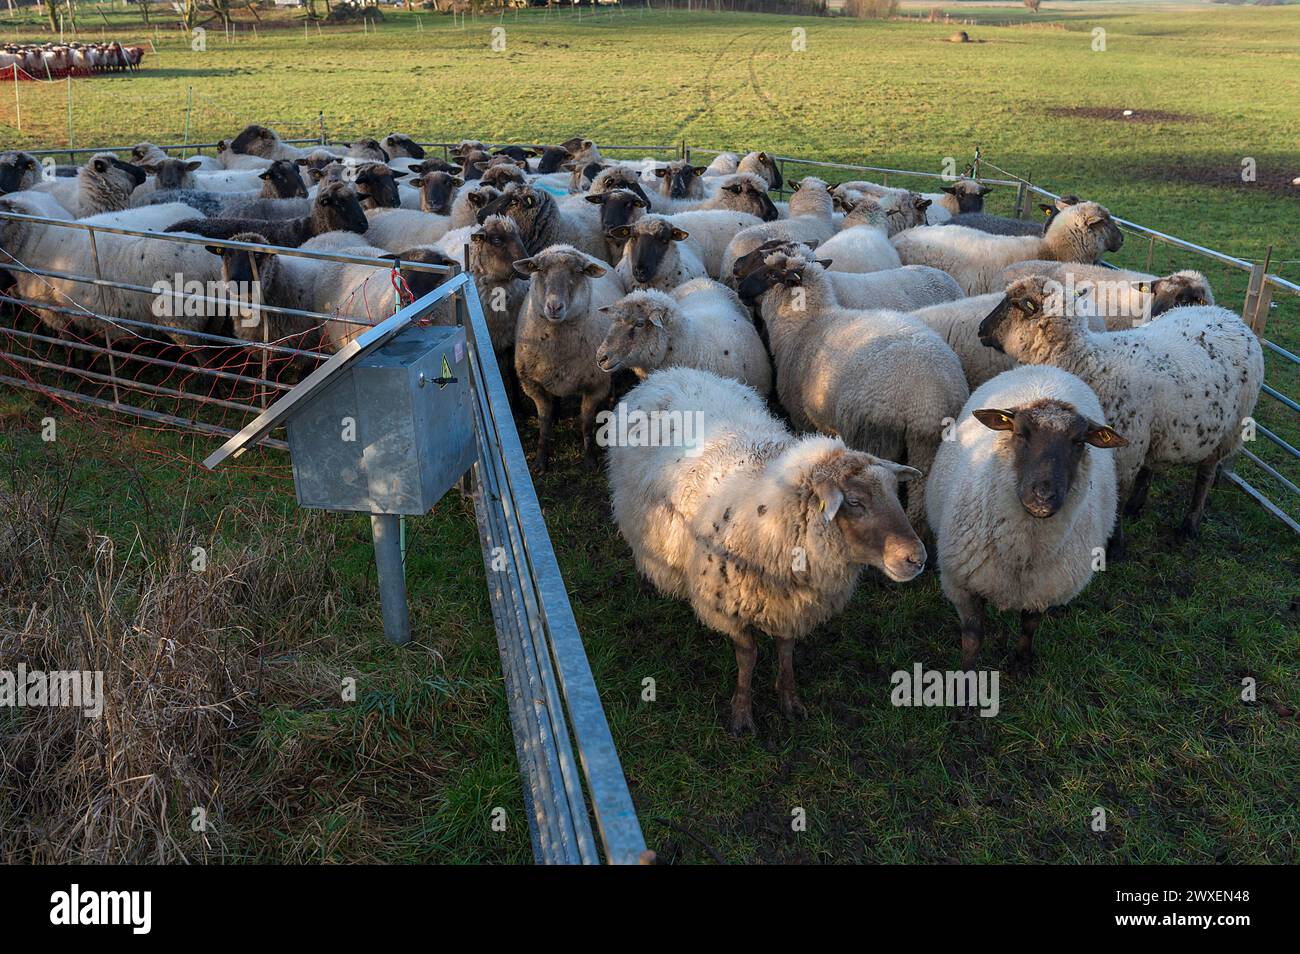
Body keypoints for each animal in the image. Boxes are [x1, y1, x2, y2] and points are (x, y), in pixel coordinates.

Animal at [513, 244, 626, 470]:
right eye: (539, 269)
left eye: (578, 272)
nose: (554, 307)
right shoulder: (532, 385)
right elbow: (544, 420)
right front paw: (541, 460)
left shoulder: (595, 386)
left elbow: (586, 422)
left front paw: (590, 460)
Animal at [607, 366, 926, 733]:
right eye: (855, 502)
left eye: (894, 493)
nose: (917, 558)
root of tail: (668, 373)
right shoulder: (728, 606)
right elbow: (748, 656)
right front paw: (742, 713)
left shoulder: (789, 604)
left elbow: (786, 649)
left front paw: (788, 698)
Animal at [752, 250, 970, 529]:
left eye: (769, 274)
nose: (740, 285)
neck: (805, 322)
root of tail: (925, 397)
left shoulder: (803, 417)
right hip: (927, 442)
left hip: (875, 436)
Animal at [926, 364, 1128, 670]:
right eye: (1020, 433)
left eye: (1079, 442)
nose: (1043, 495)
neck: (1021, 554)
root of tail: (1045, 368)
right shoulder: (961, 585)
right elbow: (973, 637)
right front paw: (967, 677)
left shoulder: (1042, 590)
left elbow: (1030, 626)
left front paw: (1021, 664)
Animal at [976, 274, 1264, 547]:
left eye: (1012, 303)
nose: (980, 329)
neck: (1088, 362)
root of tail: (1228, 314)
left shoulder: (1125, 453)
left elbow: (1119, 496)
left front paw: (1116, 545)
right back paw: (1138, 505)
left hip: (1228, 430)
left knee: (1205, 475)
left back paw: (1189, 526)